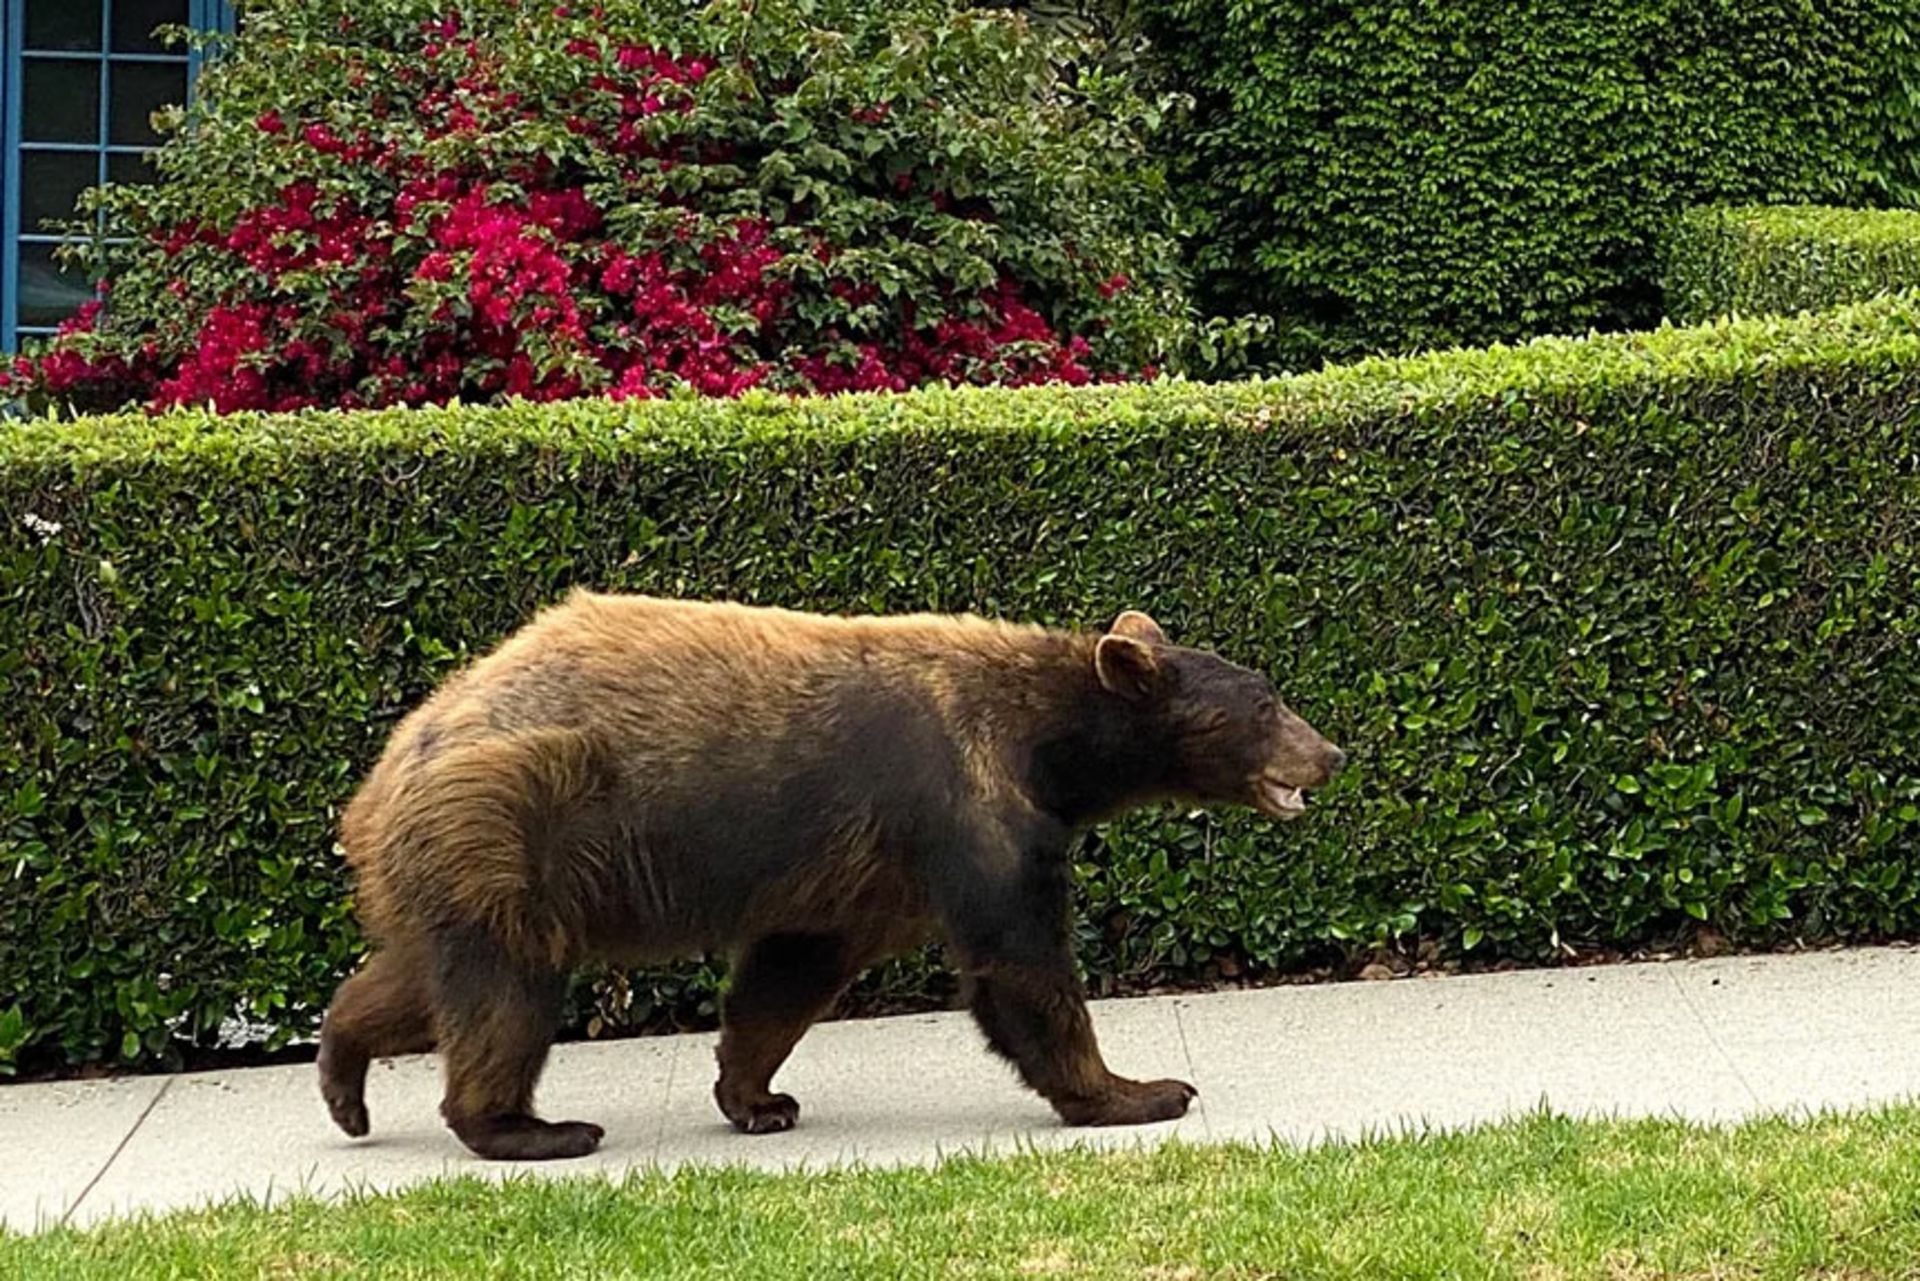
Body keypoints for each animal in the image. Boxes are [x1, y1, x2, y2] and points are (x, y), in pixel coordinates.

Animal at [314, 591, 1344, 1160]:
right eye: (1265, 704)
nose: (1330, 752)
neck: (1050, 746)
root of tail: (383, 773)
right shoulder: (963, 804)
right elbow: (1020, 964)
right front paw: (1141, 1089)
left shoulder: (856, 870)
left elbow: (792, 970)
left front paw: (758, 1096)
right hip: (510, 827)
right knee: (506, 992)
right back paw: (534, 1127)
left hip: (456, 864)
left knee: (423, 978)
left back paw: (346, 1077)